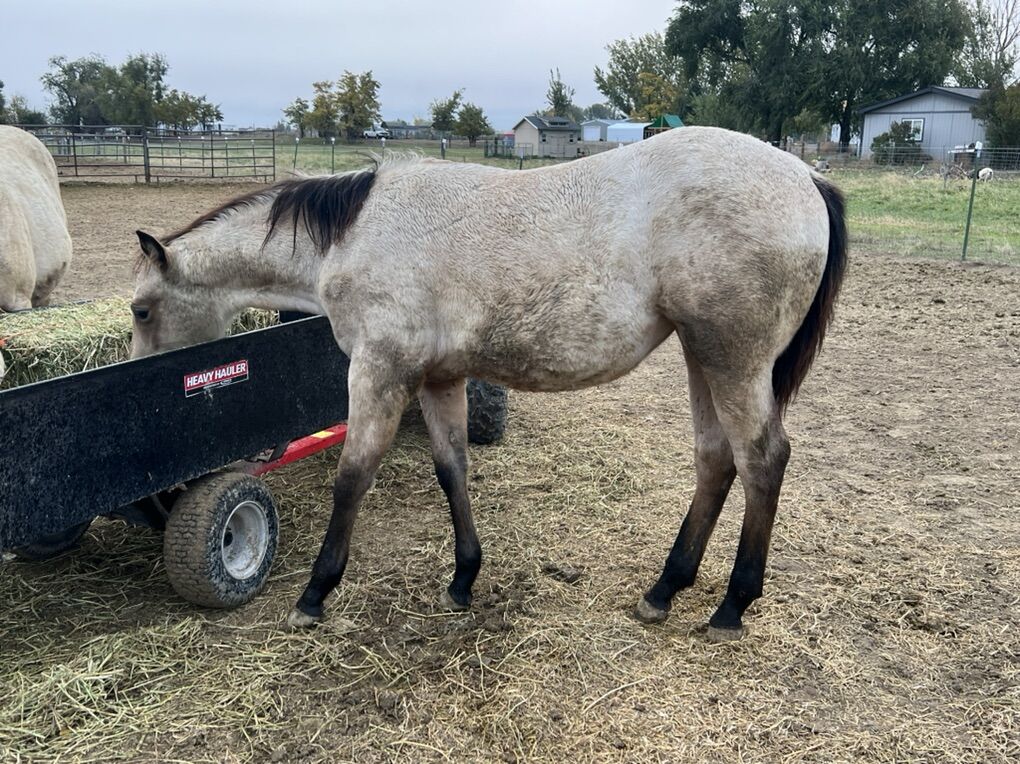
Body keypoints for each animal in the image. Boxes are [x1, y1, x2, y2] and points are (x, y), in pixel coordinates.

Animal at [130, 126, 847, 640]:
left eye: (140, 310)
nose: (141, 376)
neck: (356, 234)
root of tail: (807, 178)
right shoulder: (440, 378)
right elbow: (453, 469)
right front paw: (463, 579)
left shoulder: (380, 371)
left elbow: (353, 476)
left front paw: (315, 593)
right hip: (703, 358)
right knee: (715, 461)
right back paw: (664, 590)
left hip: (733, 361)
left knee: (762, 461)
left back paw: (732, 604)